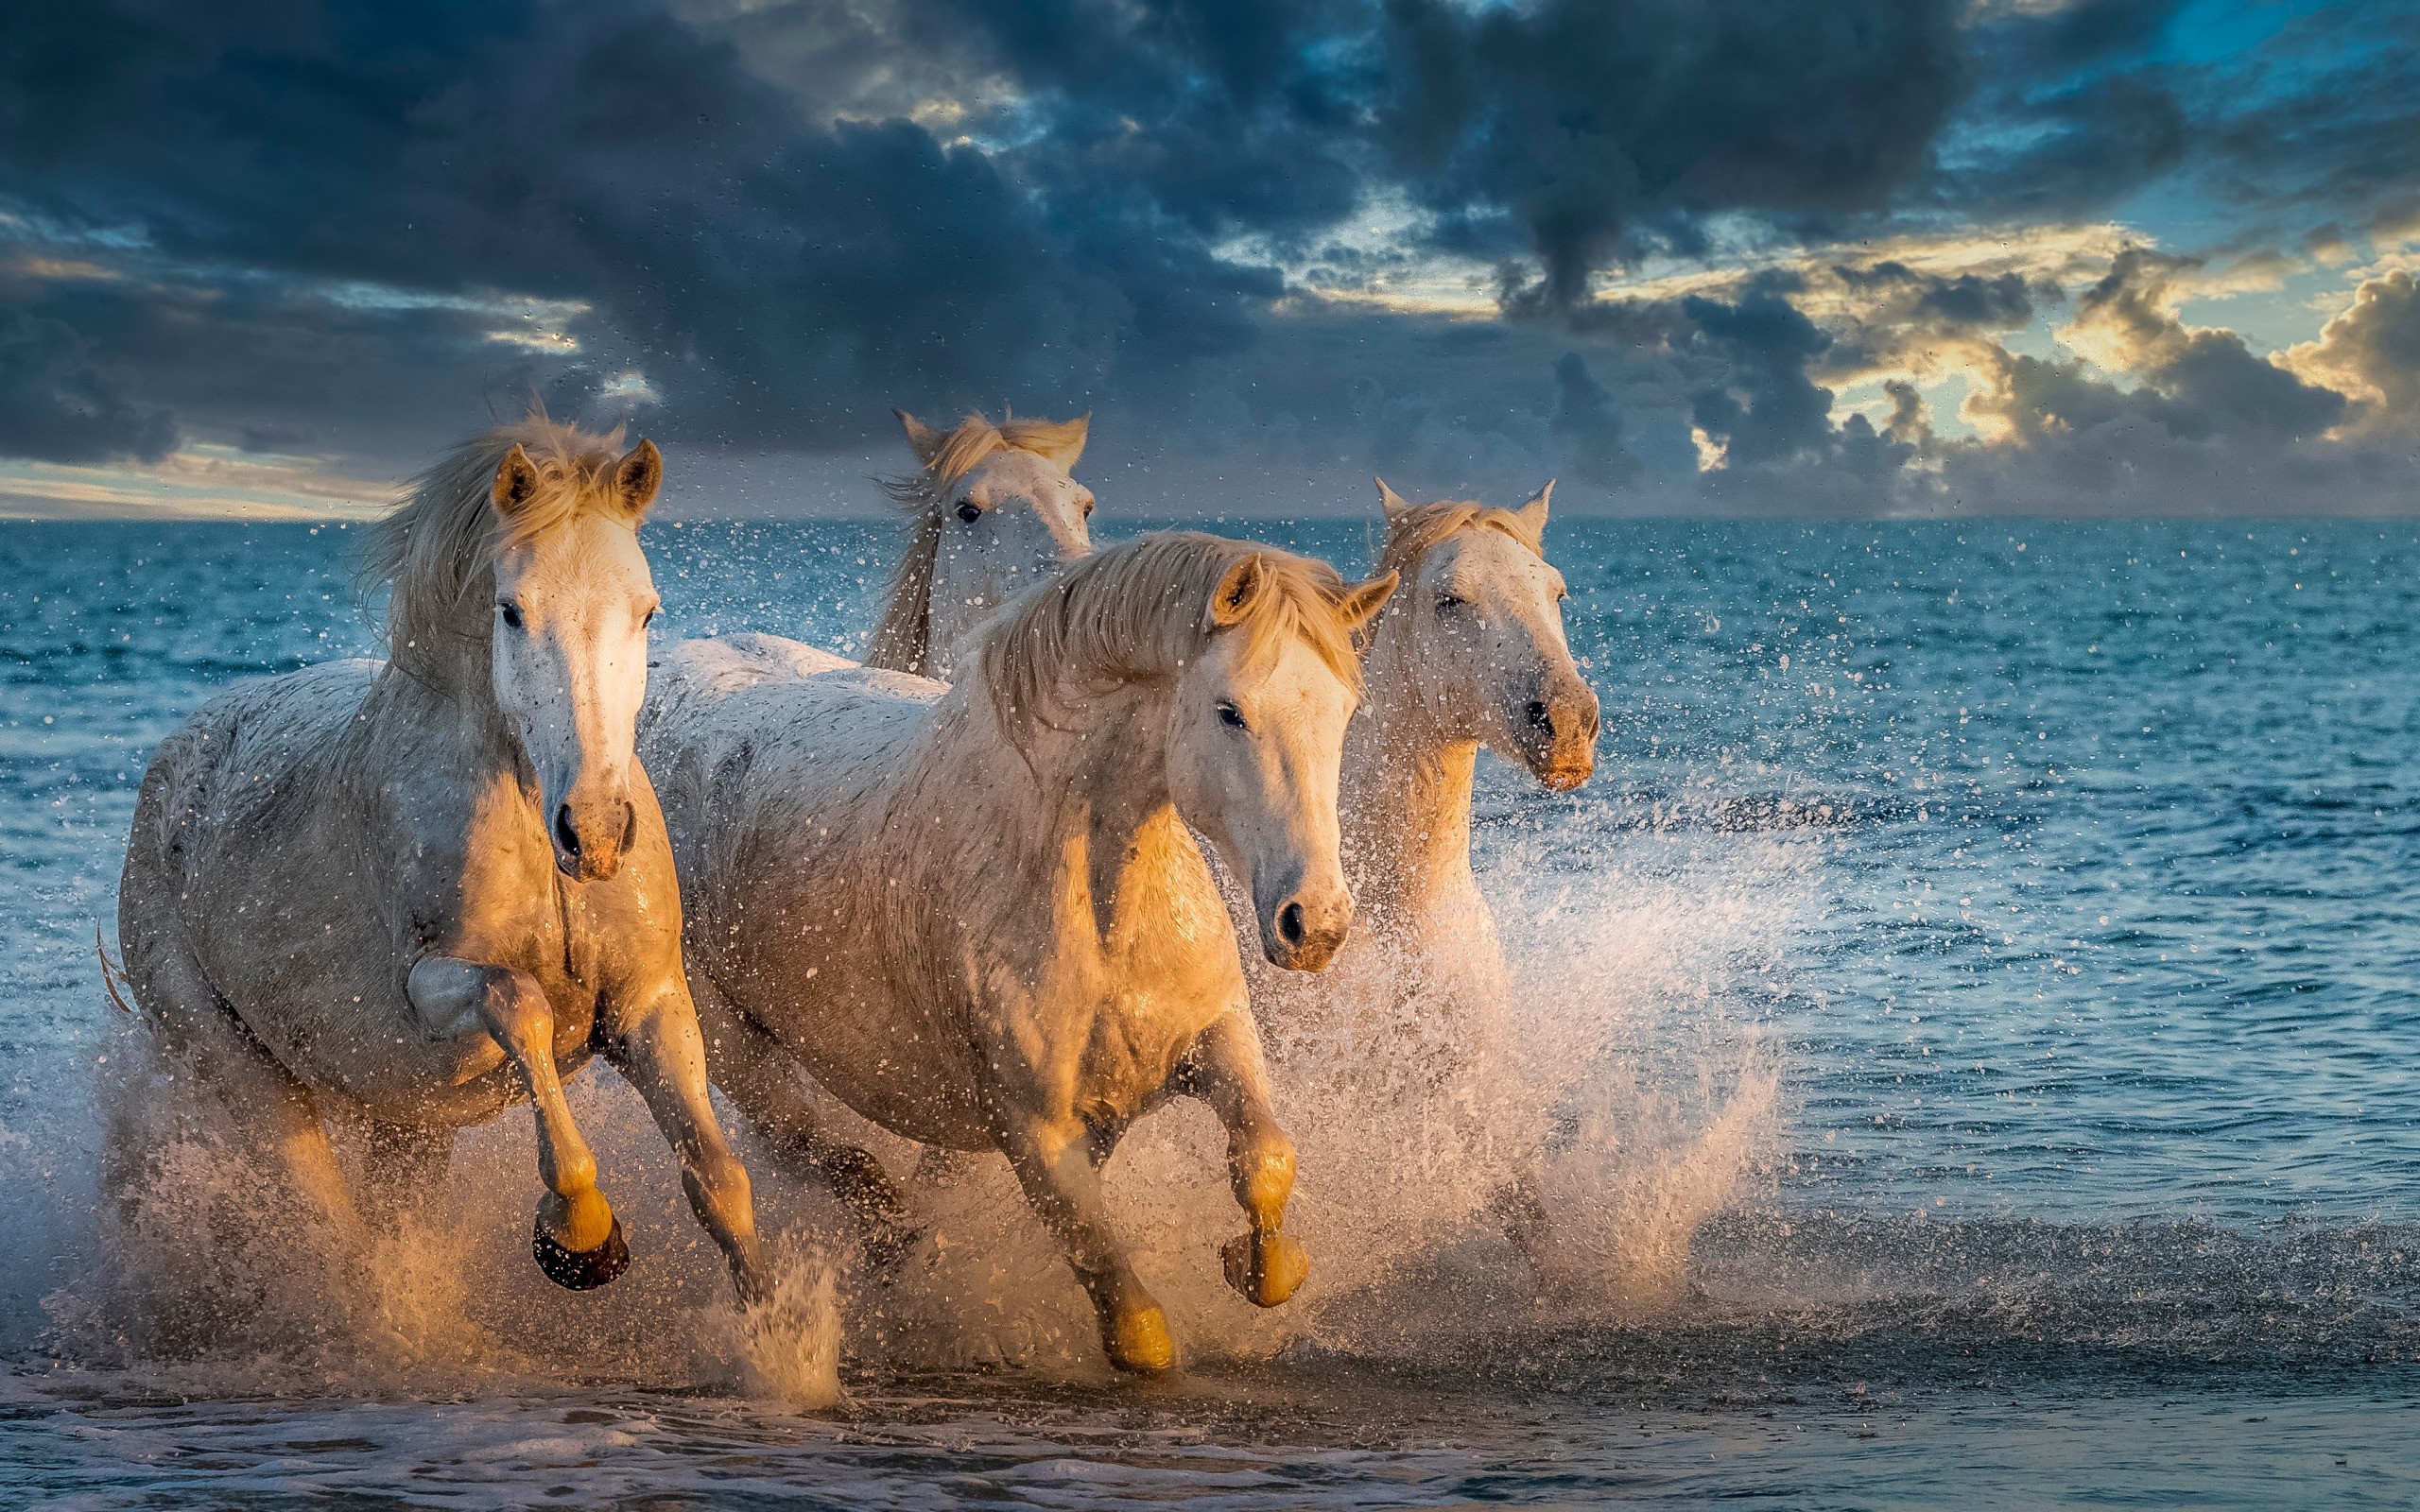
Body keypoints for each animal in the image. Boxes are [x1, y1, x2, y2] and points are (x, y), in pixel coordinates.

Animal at [112, 419, 769, 1310]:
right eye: (512, 612)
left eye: (646, 611)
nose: (595, 834)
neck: (532, 825)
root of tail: (174, 764)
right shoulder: (427, 988)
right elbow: (521, 1004)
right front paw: (582, 1234)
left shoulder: (648, 1001)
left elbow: (720, 1181)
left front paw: (786, 1339)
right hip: (243, 1074)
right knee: (330, 1230)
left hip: (405, 1122)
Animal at [639, 533, 1395, 1372]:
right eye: (1230, 711)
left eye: (1345, 711)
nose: (1315, 924)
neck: (1102, 915)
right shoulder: (1035, 1132)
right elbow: (1135, 1325)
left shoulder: (1215, 1039)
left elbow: (1266, 1158)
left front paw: (1261, 1268)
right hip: (728, 1049)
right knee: (822, 1157)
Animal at [1236, 479, 1600, 1270]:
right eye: (1450, 599)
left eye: (1556, 591)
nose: (1567, 723)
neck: (1388, 903)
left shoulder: (1458, 1091)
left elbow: (1528, 1212)